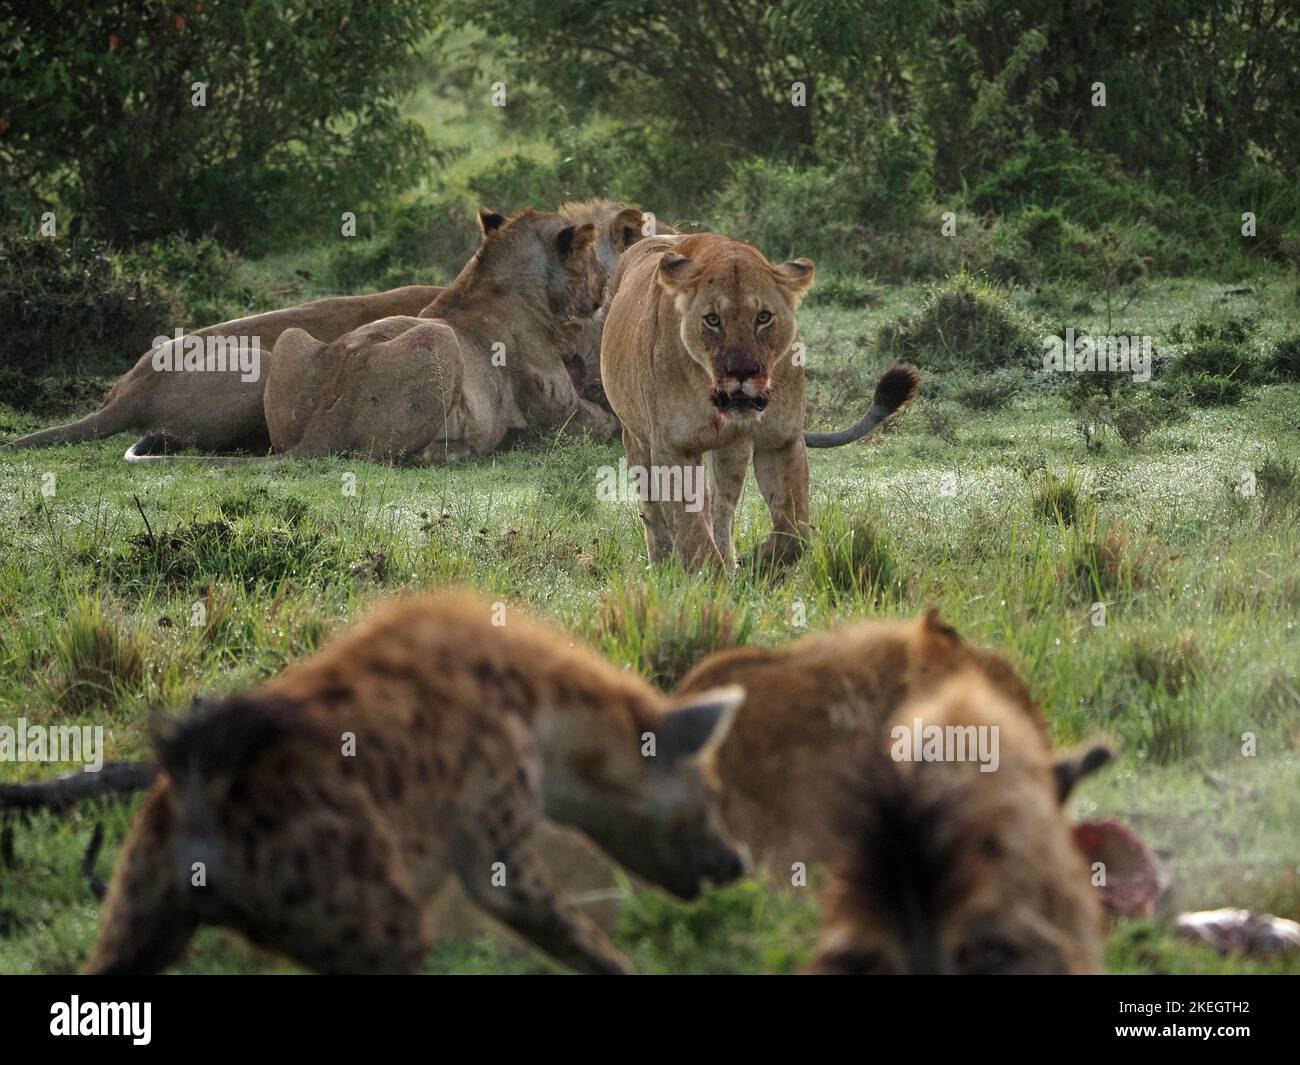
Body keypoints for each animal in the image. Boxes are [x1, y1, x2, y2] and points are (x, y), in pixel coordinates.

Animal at [599, 232, 920, 570]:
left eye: (763, 317)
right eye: (713, 320)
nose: (742, 372)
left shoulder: (780, 440)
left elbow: (795, 531)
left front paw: (759, 563)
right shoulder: (673, 448)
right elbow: (693, 538)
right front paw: (708, 578)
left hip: (733, 450)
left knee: (721, 509)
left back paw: (731, 562)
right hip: (636, 439)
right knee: (654, 509)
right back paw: (662, 564)